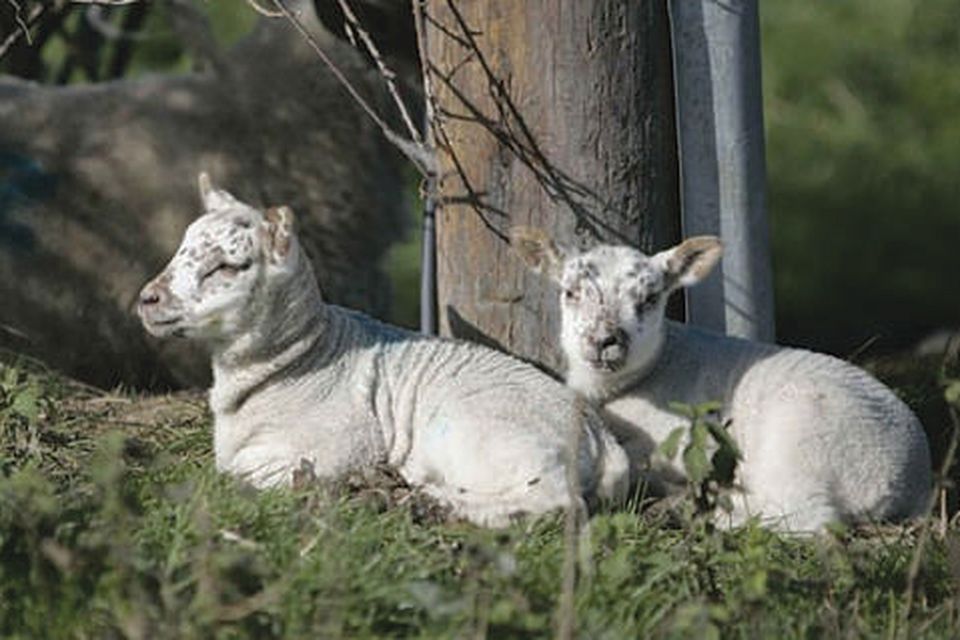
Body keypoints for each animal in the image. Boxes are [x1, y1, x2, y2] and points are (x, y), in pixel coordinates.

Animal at [135, 175, 629, 527]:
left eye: (226, 266)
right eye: (181, 249)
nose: (148, 299)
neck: (298, 357)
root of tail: (603, 439)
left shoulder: (339, 445)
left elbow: (235, 473)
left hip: (497, 437)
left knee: (556, 501)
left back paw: (431, 502)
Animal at [511, 227, 932, 532]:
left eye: (650, 299)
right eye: (570, 293)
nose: (604, 341)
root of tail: (908, 480)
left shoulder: (690, 440)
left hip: (806, 443)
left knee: (810, 516)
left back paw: (701, 513)